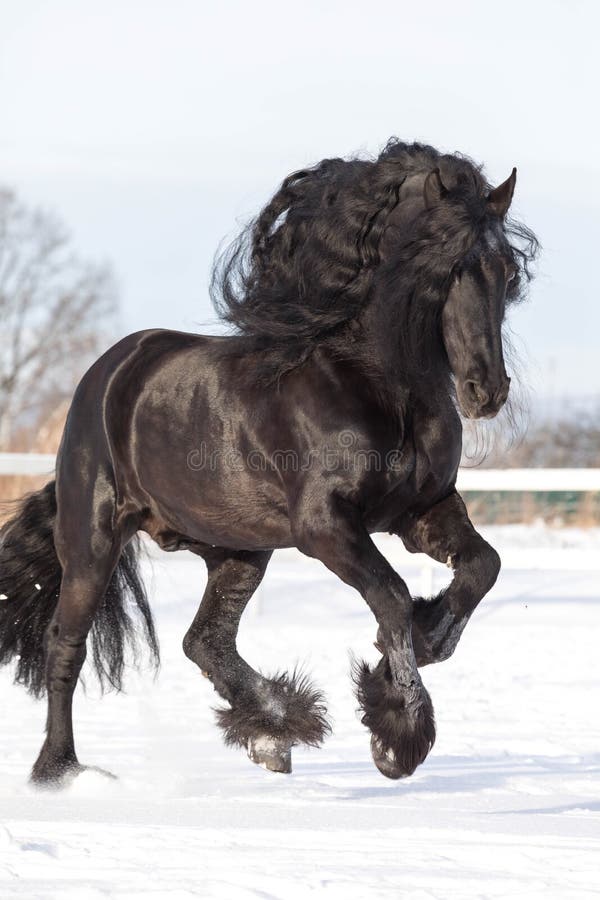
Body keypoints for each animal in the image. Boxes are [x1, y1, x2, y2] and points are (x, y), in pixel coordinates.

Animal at [0, 140, 538, 785]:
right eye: (442, 268)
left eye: (506, 270)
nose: (487, 390)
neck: (379, 384)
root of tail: (109, 374)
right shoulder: (324, 526)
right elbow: (391, 595)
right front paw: (398, 736)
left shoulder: (422, 511)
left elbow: (483, 567)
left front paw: (426, 640)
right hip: (93, 541)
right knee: (66, 643)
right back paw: (59, 770)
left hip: (237, 549)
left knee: (204, 640)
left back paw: (273, 733)